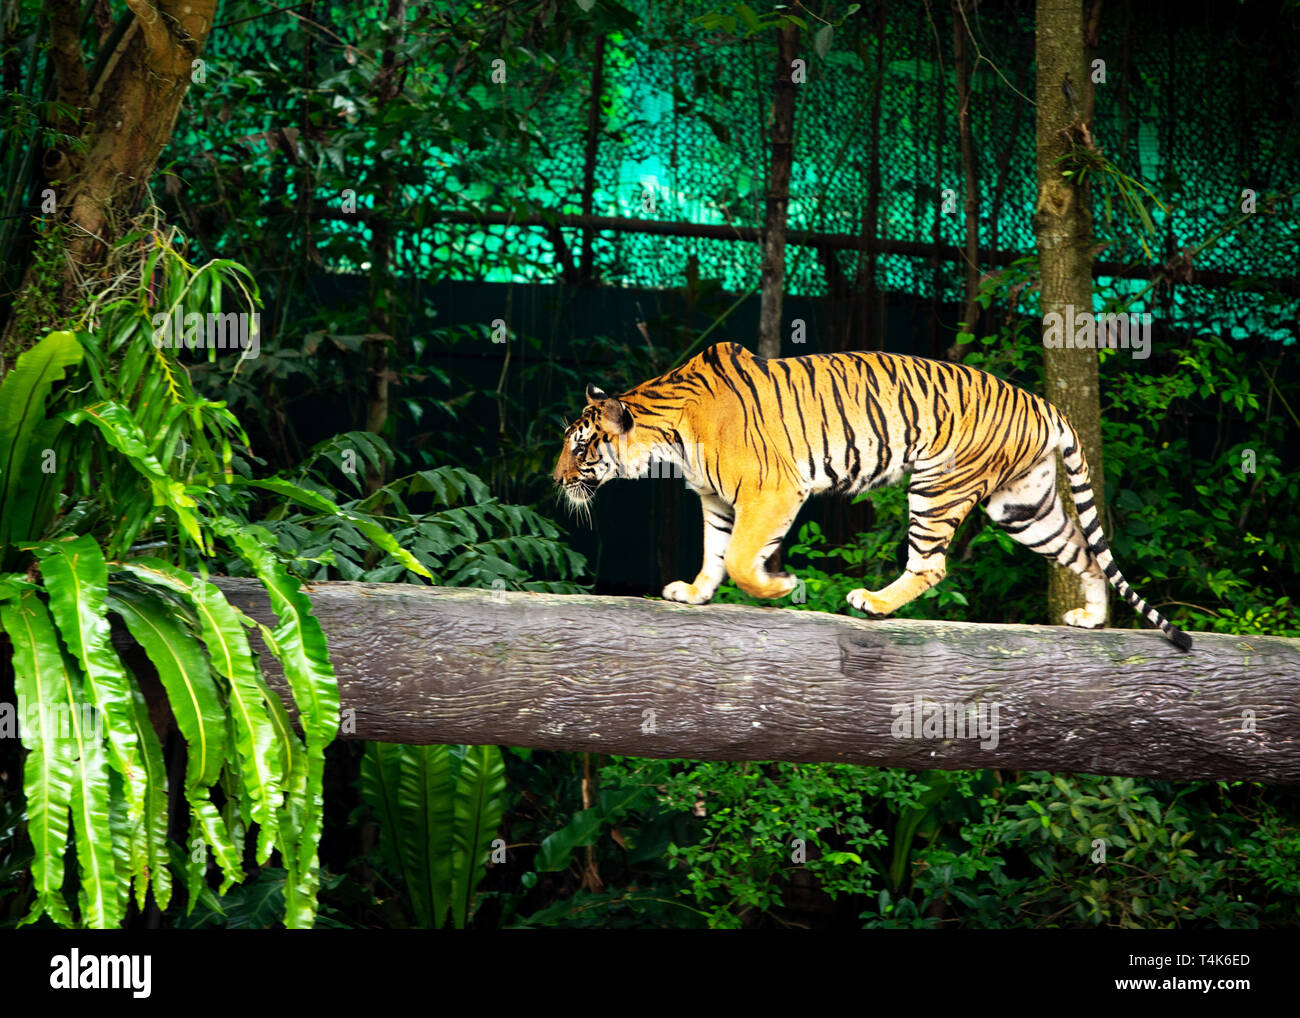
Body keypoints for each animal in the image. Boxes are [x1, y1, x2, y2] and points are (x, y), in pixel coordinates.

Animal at [552, 341, 1192, 650]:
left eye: (580, 448)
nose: (556, 480)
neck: (670, 438)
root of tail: (1042, 401)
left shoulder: (773, 489)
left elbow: (738, 557)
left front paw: (780, 586)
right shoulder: (714, 499)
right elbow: (715, 553)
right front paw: (693, 592)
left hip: (937, 486)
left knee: (931, 566)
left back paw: (874, 604)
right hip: (1023, 507)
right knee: (1085, 554)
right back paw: (1091, 618)